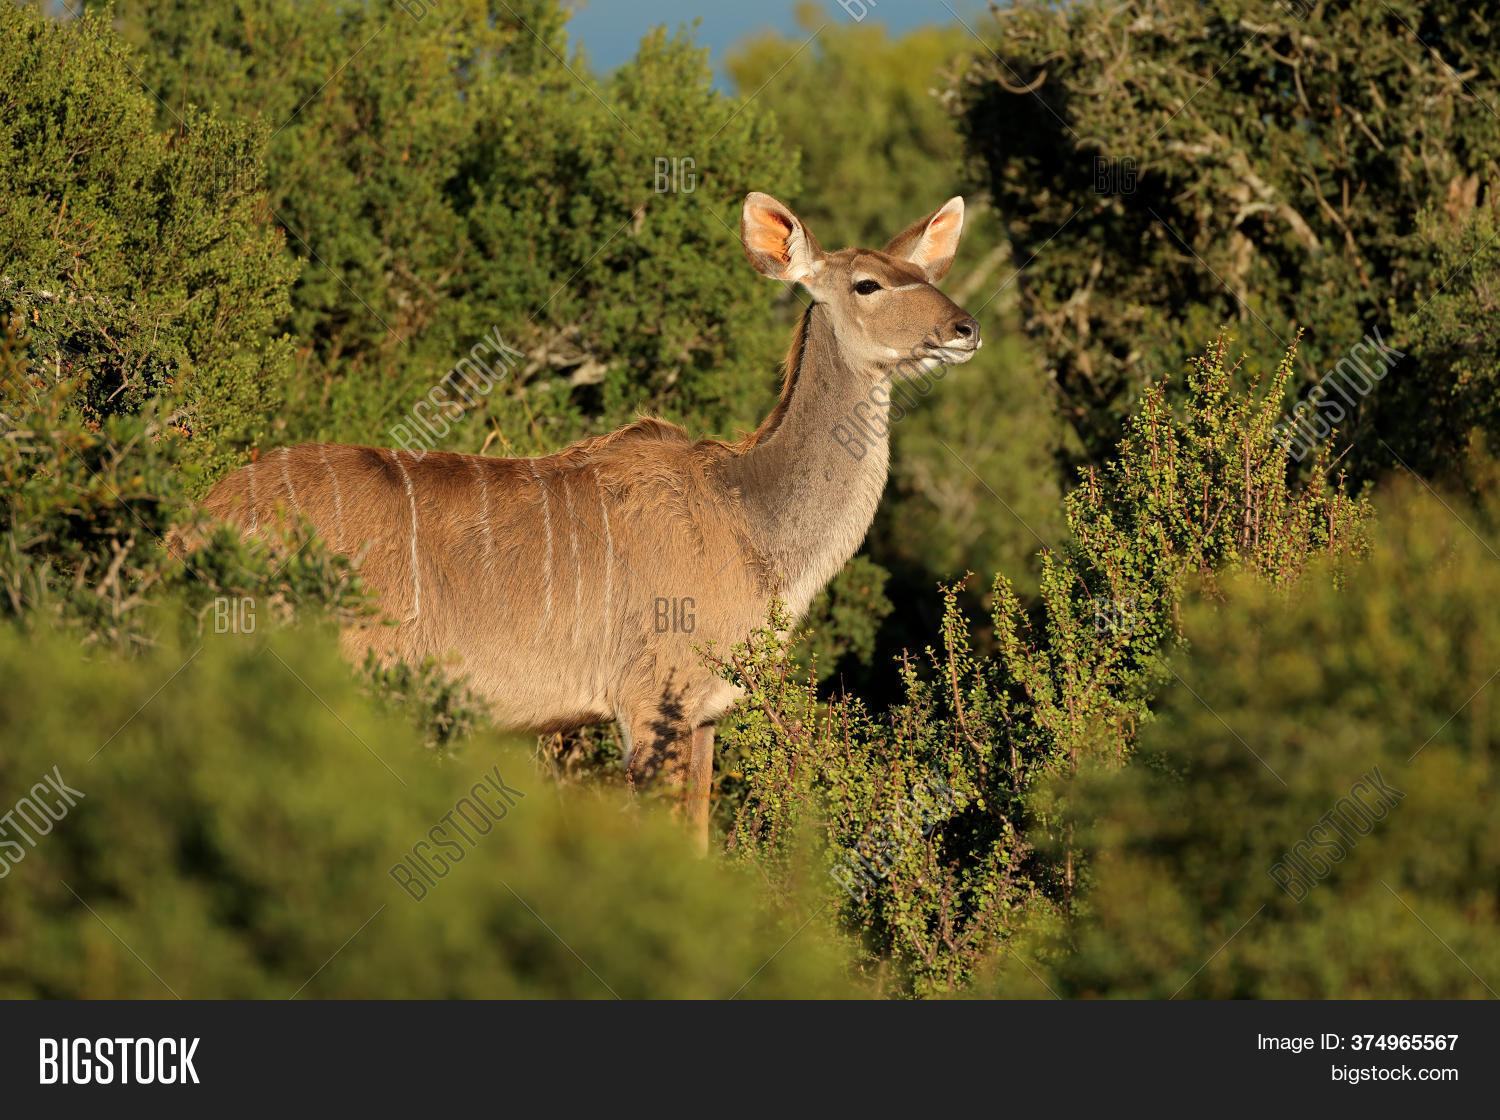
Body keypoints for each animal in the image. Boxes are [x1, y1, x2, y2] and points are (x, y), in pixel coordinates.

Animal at [200, 192, 980, 850]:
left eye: (921, 270)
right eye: (868, 284)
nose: (964, 329)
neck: (750, 521)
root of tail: (204, 516)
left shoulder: (704, 714)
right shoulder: (651, 702)